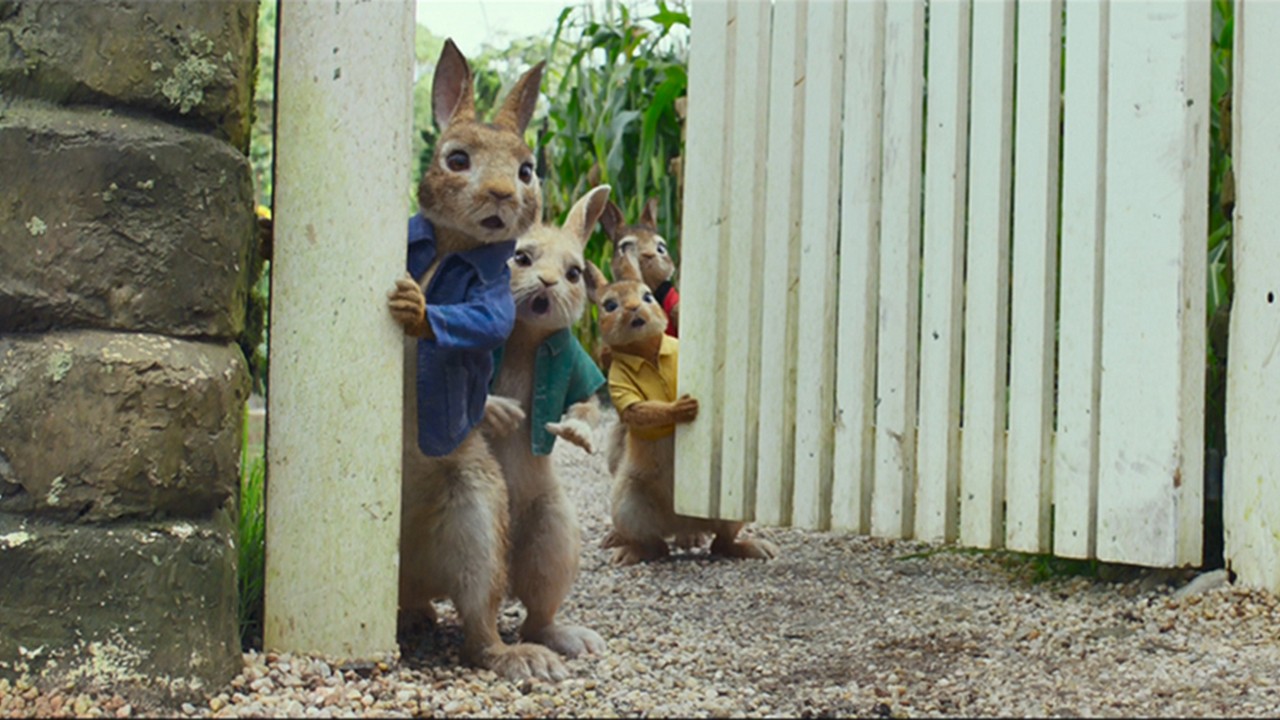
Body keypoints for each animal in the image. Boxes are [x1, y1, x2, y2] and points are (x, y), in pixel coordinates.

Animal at [385, 39, 567, 682]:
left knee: (478, 621)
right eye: (456, 159)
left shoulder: (490, 300)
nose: (502, 197)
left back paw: (519, 657)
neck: (452, 250)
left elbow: (477, 323)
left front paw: (416, 307)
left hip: (480, 514)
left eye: (527, 169)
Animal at [481, 184, 614, 659]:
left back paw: (574, 640)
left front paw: (574, 434)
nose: (548, 283)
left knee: (537, 617)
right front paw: (502, 412)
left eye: (575, 273)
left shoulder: (577, 365)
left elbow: (586, 406)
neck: (525, 338)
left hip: (553, 534)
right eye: (520, 258)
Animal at [583, 257, 778, 566]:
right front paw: (682, 407)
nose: (634, 308)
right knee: (656, 546)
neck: (647, 353)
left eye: (647, 297)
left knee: (721, 543)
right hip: (628, 505)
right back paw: (628, 551)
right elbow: (642, 411)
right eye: (610, 305)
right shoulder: (621, 386)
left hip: (732, 508)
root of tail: (682, 524)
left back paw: (751, 547)